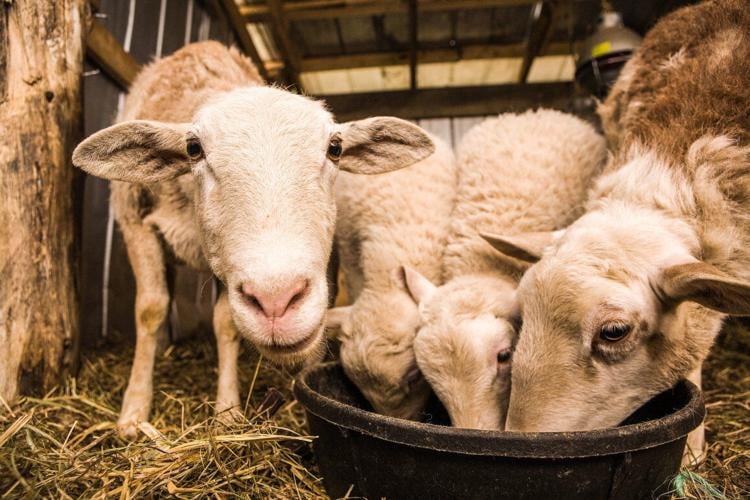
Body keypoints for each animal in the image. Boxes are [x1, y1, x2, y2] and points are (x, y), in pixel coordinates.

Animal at [72, 41, 437, 439]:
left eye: (335, 148)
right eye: (194, 149)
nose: (276, 300)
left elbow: (225, 323)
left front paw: (227, 412)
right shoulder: (136, 224)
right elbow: (150, 310)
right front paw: (134, 410)